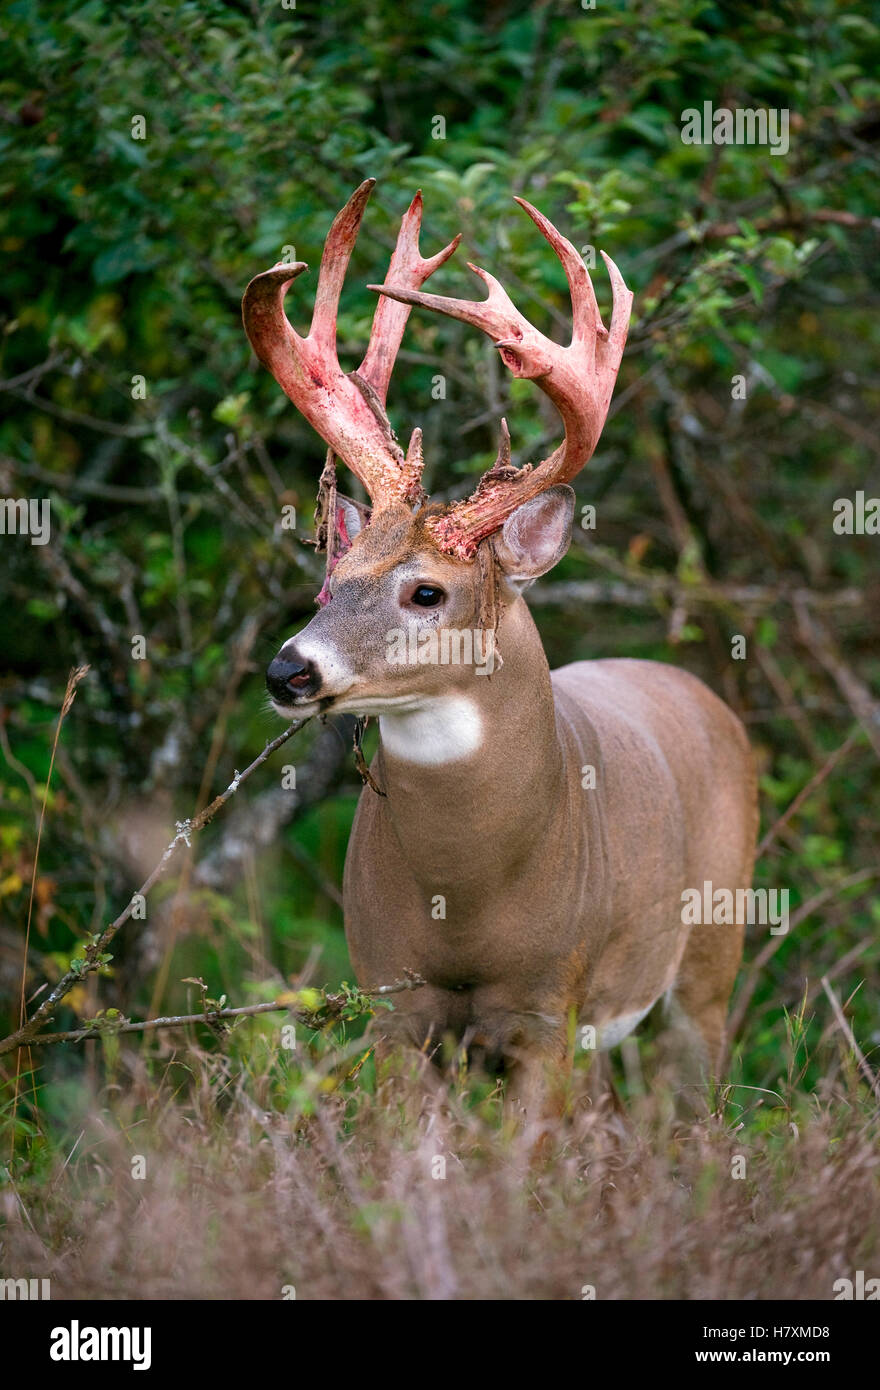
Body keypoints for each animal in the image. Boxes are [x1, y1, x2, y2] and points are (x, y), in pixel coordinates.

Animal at [242, 180, 758, 1114]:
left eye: (427, 591)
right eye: (333, 577)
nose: (289, 670)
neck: (469, 896)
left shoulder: (548, 1008)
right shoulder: (391, 1001)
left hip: (711, 952)